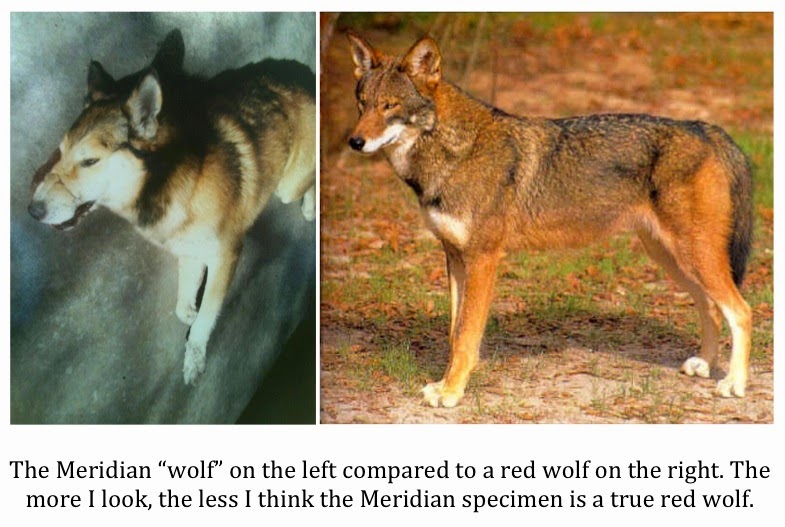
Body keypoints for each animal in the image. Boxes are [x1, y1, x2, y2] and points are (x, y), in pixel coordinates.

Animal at [28, 29, 316, 385]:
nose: (33, 210)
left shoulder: (227, 253)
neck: (167, 180)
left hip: (288, 187)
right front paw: (190, 310)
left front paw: (195, 357)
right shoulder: (189, 250)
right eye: (60, 151)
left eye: (90, 161)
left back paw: (311, 207)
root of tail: (303, 85)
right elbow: (183, 306)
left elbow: (207, 317)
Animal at [346, 32, 753, 408]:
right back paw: (704, 364)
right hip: (672, 259)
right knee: (712, 308)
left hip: (693, 256)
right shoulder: (454, 257)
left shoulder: (483, 260)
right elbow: (454, 332)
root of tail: (704, 127)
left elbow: (464, 336)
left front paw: (451, 393)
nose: (354, 142)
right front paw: (446, 384)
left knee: (741, 311)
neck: (455, 152)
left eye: (390, 106)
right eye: (362, 104)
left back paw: (733, 384)